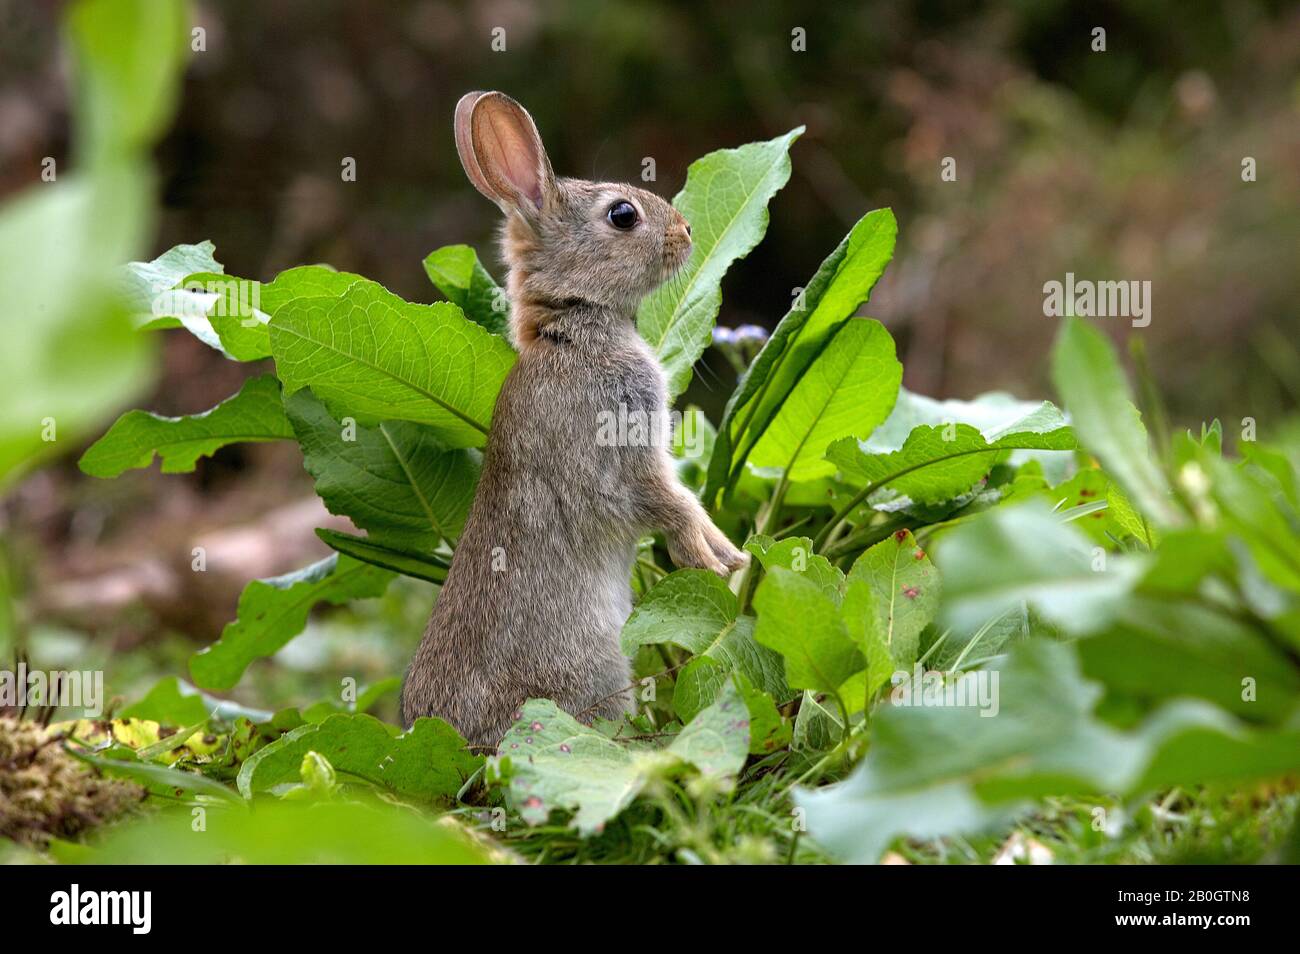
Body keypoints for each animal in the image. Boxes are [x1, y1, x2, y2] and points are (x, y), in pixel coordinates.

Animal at [400, 91, 748, 748]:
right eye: (622, 215)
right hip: (592, 665)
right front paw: (718, 563)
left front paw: (731, 556)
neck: (569, 324)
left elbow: (691, 503)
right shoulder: (623, 457)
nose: (687, 231)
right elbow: (675, 506)